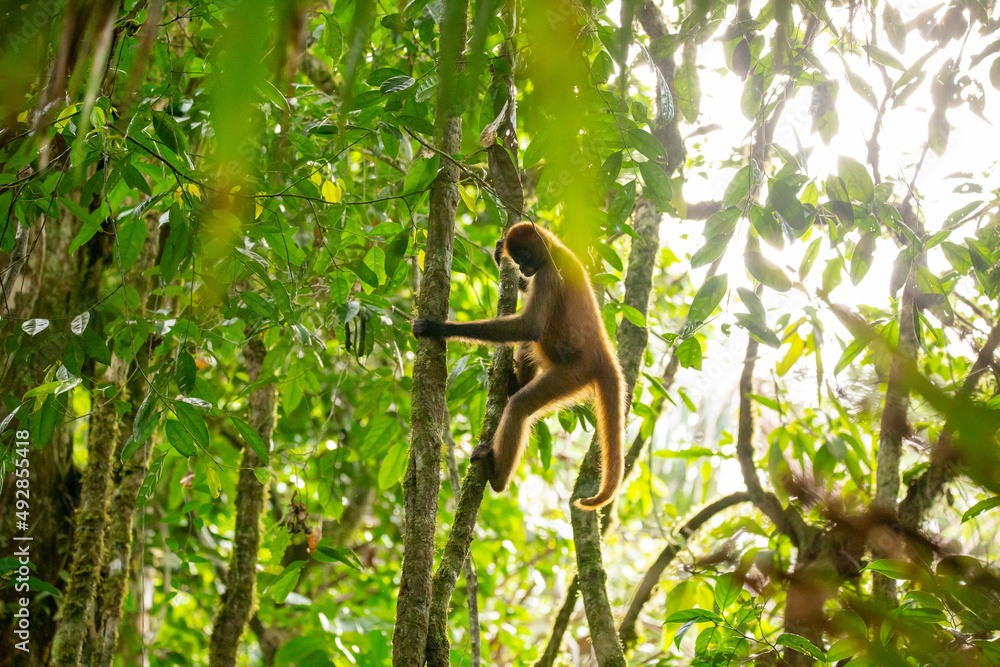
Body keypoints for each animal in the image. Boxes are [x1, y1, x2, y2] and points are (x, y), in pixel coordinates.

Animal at [412, 221, 625, 510]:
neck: (556, 249)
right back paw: (516, 385)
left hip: (573, 373)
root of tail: (602, 350)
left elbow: (529, 327)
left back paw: (496, 477)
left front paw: (438, 328)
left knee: (520, 405)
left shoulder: (548, 272)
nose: (523, 269)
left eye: (526, 258)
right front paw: (498, 253)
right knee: (527, 348)